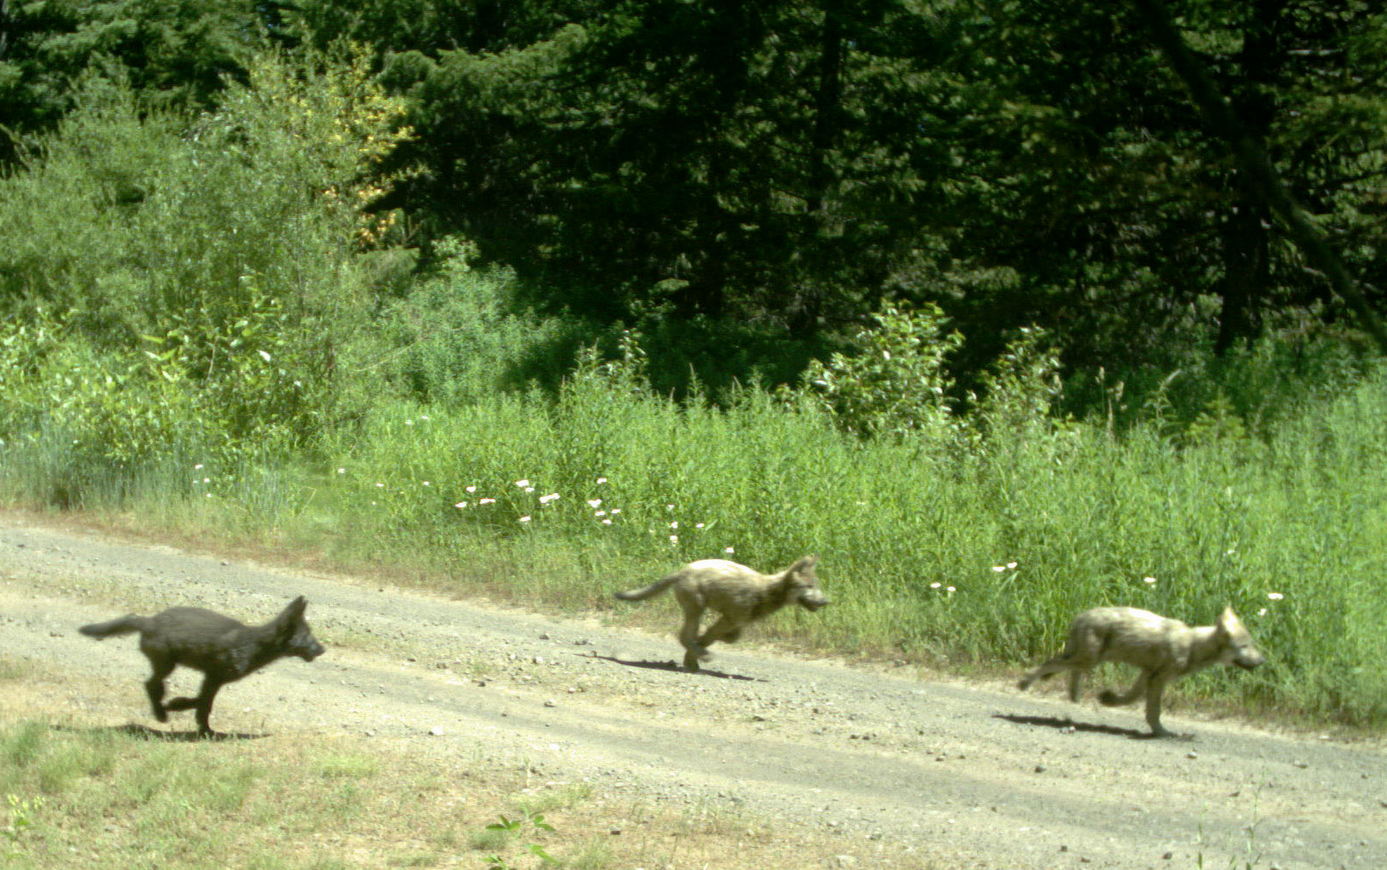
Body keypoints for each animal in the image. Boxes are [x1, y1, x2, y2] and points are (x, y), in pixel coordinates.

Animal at [79, 595, 324, 737]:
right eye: (307, 636)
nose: (323, 650)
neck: (252, 645)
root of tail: (148, 621)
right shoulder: (215, 675)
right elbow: (202, 702)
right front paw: (177, 705)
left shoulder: (213, 678)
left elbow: (205, 704)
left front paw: (205, 729)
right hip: (166, 663)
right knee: (151, 685)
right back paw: (161, 713)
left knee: (152, 684)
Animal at [614, 556, 828, 672]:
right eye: (809, 587)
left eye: (816, 586)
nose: (827, 602)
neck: (767, 591)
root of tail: (681, 572)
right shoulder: (730, 618)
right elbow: (709, 636)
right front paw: (697, 654)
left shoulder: (735, 621)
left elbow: (729, 637)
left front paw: (694, 655)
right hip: (696, 607)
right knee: (684, 636)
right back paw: (700, 657)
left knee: (687, 635)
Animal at [1017, 606, 1264, 737]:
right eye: (1244, 646)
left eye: (1251, 645)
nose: (1262, 661)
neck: (1193, 645)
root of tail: (1081, 616)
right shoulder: (1158, 678)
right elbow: (1153, 711)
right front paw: (1162, 733)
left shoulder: (1148, 673)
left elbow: (1131, 698)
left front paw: (1108, 699)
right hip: (1088, 660)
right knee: (1050, 663)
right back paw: (1025, 682)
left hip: (1087, 661)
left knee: (1064, 668)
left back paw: (1073, 694)